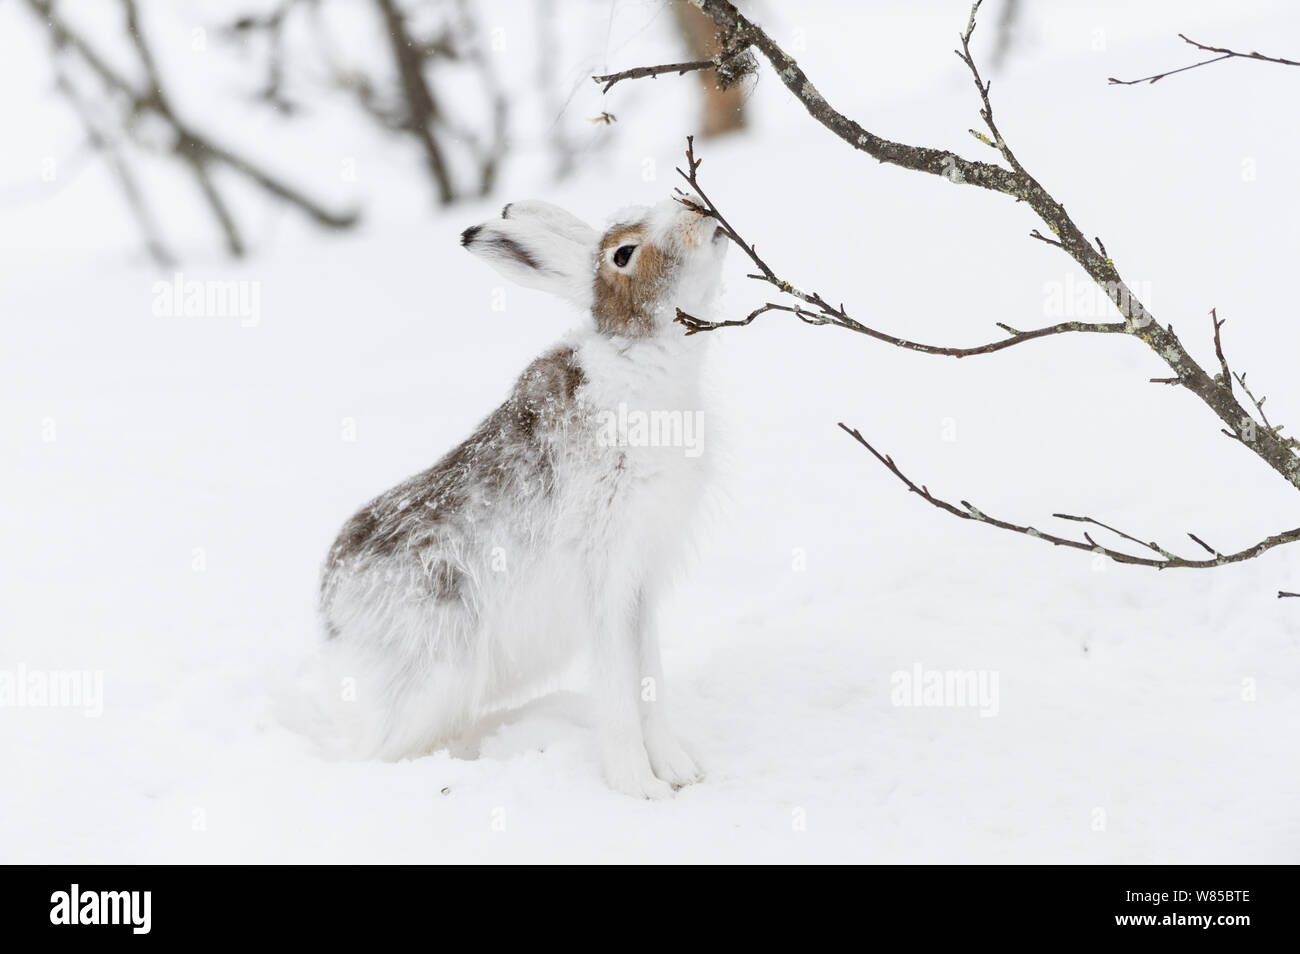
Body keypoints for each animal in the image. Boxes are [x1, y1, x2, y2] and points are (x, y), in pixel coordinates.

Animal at [318, 196, 728, 798]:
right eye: (623, 254)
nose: (699, 210)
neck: (639, 356)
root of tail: (332, 612)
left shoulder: (640, 583)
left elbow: (649, 676)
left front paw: (680, 772)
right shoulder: (604, 576)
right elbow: (618, 687)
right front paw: (639, 787)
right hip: (437, 673)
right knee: (378, 752)